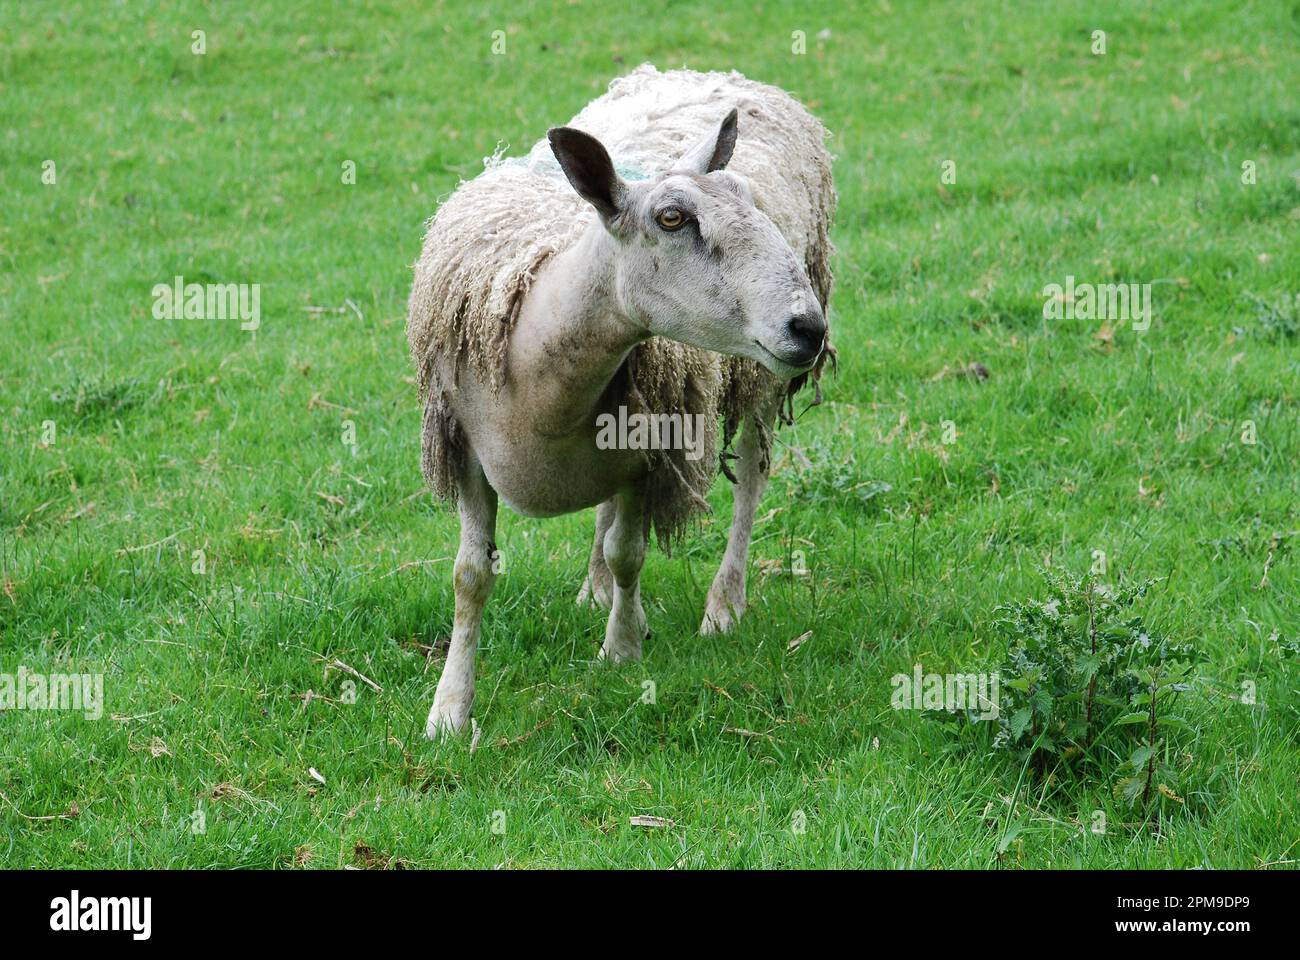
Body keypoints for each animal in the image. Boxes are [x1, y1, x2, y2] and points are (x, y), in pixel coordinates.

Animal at [407, 64, 836, 737]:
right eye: (672, 218)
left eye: (745, 197)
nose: (809, 328)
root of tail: (710, 72)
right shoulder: (468, 449)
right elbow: (470, 576)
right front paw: (450, 711)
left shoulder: (647, 453)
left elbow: (629, 552)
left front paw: (623, 649)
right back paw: (595, 589)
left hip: (760, 380)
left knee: (751, 477)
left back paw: (723, 603)